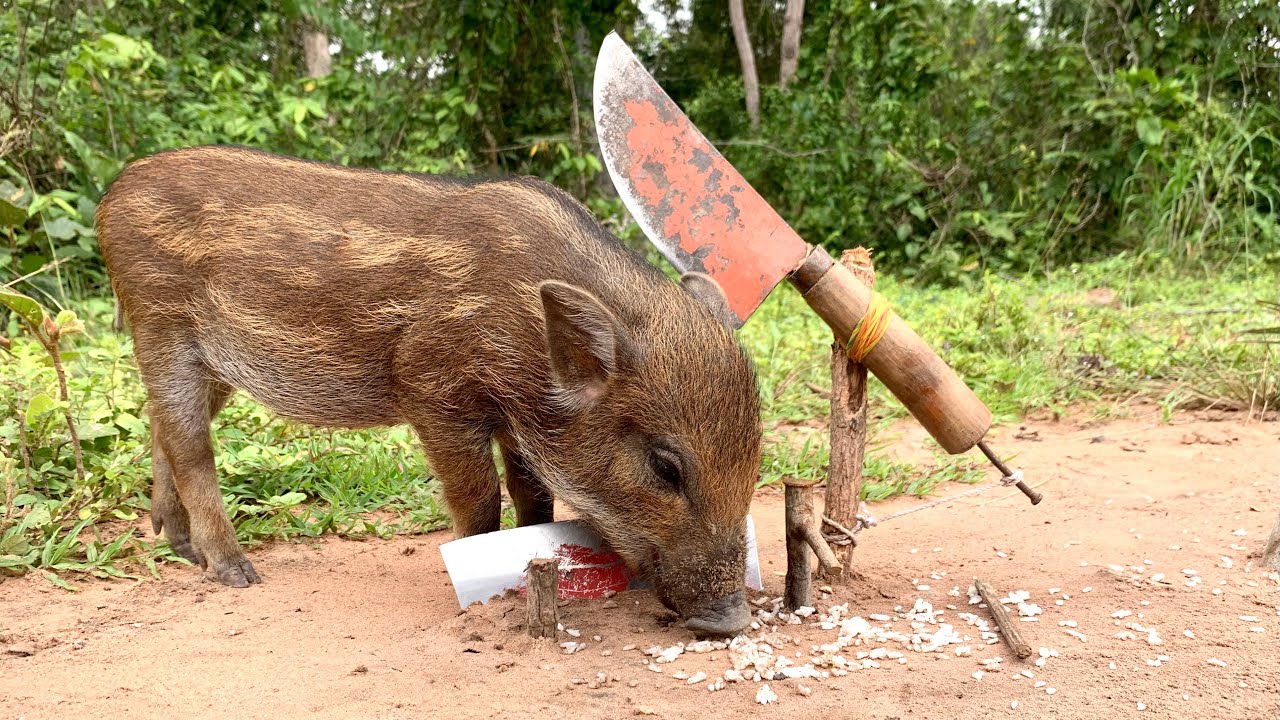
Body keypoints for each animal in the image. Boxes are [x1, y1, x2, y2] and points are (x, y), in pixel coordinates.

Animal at [96, 146, 761, 636]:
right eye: (665, 466)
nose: (730, 621)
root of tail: (112, 194)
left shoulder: (515, 418)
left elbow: (534, 494)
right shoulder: (430, 387)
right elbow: (480, 497)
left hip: (213, 366)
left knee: (161, 428)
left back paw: (178, 544)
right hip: (162, 329)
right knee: (190, 446)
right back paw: (234, 571)